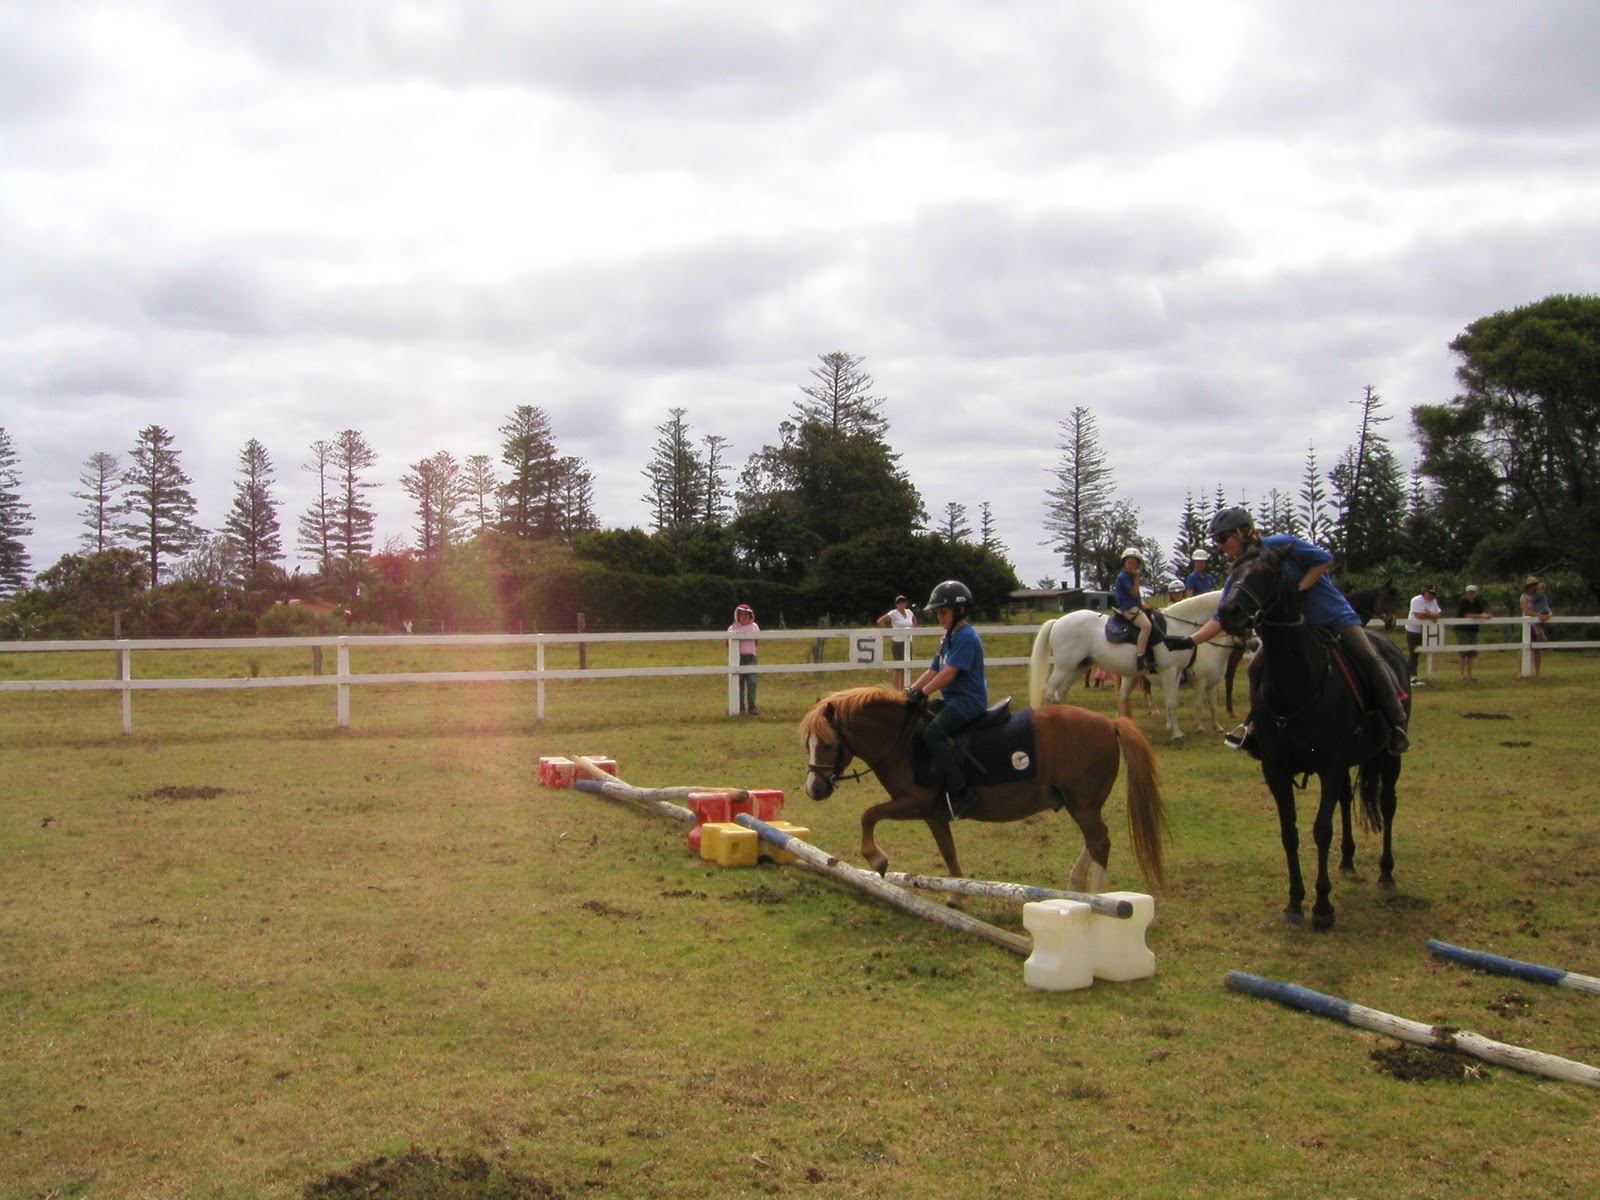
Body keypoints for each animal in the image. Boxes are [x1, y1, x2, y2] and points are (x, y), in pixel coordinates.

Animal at [800, 686, 1167, 894]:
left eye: (828, 745)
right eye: (808, 745)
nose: (813, 789)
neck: (902, 740)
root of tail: (1110, 723)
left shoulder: (915, 802)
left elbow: (868, 814)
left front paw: (876, 858)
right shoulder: (934, 815)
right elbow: (949, 853)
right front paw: (957, 895)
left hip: (1083, 804)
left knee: (1100, 842)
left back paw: (1096, 900)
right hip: (1082, 804)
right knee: (1095, 841)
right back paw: (1076, 886)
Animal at [1029, 591, 1246, 740]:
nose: (1247, 642)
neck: (1177, 630)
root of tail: (1058, 622)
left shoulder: (1176, 673)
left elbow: (1172, 701)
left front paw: (1172, 727)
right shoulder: (1169, 672)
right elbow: (1171, 702)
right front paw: (1177, 733)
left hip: (1078, 668)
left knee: (1061, 693)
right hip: (1064, 667)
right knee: (1048, 691)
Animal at [1216, 545, 1407, 931]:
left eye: (1271, 573)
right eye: (1233, 572)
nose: (1230, 612)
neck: (1296, 684)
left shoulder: (1331, 764)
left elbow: (1321, 830)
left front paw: (1322, 907)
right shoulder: (1275, 768)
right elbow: (1289, 832)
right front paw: (1294, 902)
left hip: (1388, 757)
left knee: (1388, 804)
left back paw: (1386, 873)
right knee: (1347, 800)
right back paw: (1347, 861)